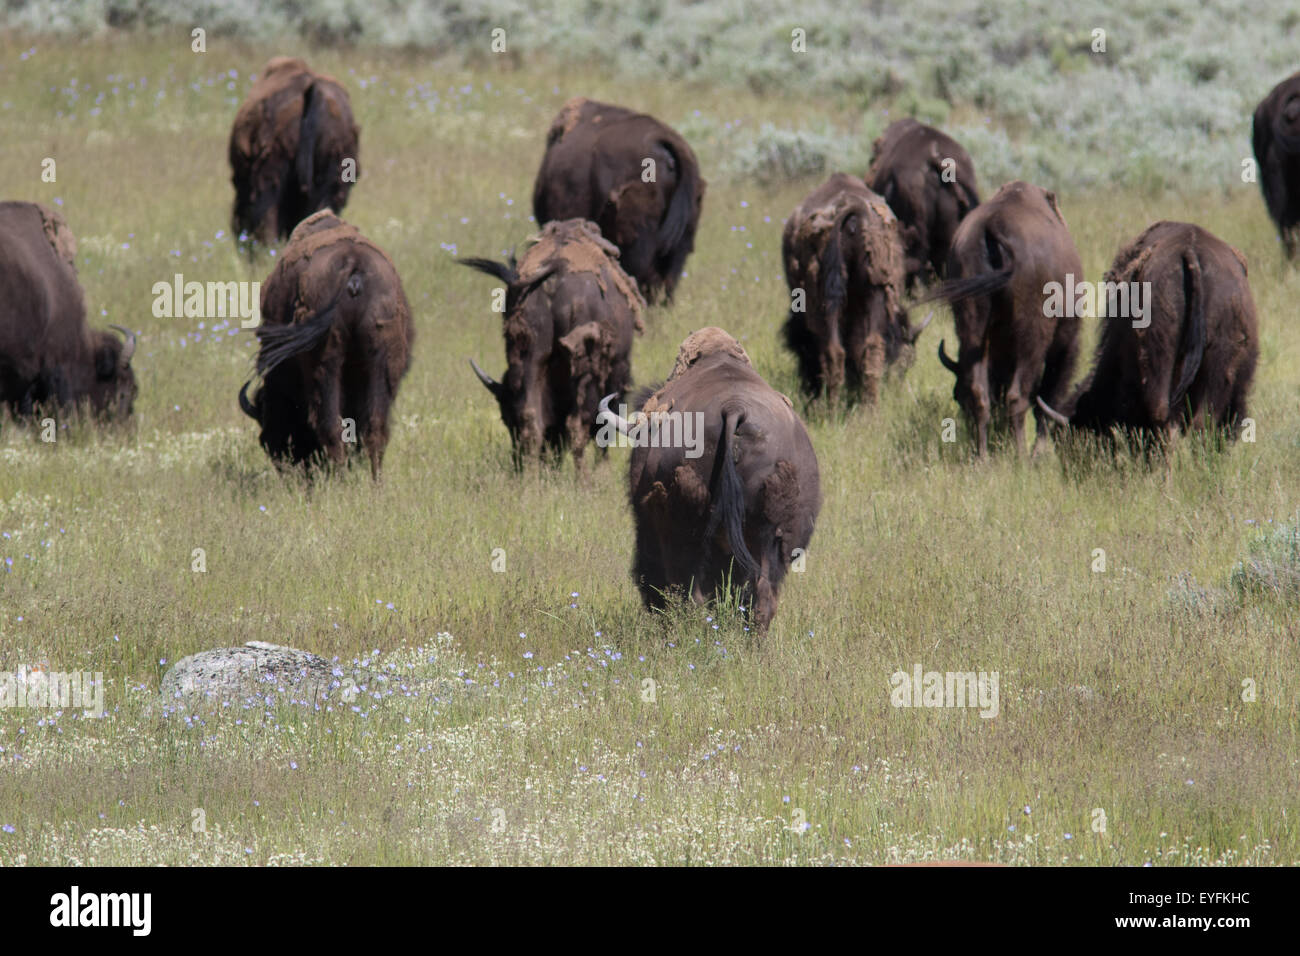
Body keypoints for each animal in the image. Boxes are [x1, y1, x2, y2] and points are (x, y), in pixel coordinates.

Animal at [239, 210, 413, 478]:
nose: (289, 472)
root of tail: (353, 265)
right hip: (380, 363)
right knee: (375, 429)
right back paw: (375, 483)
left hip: (325, 364)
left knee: (331, 428)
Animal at [462, 219, 645, 472]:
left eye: (505, 418)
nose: (517, 461)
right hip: (586, 369)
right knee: (577, 426)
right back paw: (583, 478)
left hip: (529, 356)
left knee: (531, 419)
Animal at [928, 181, 1082, 457]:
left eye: (956, 396)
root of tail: (992, 226)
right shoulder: (1067, 342)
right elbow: (1047, 396)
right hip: (1034, 336)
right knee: (1018, 395)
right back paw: (1022, 456)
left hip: (972, 324)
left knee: (981, 391)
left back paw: (983, 456)